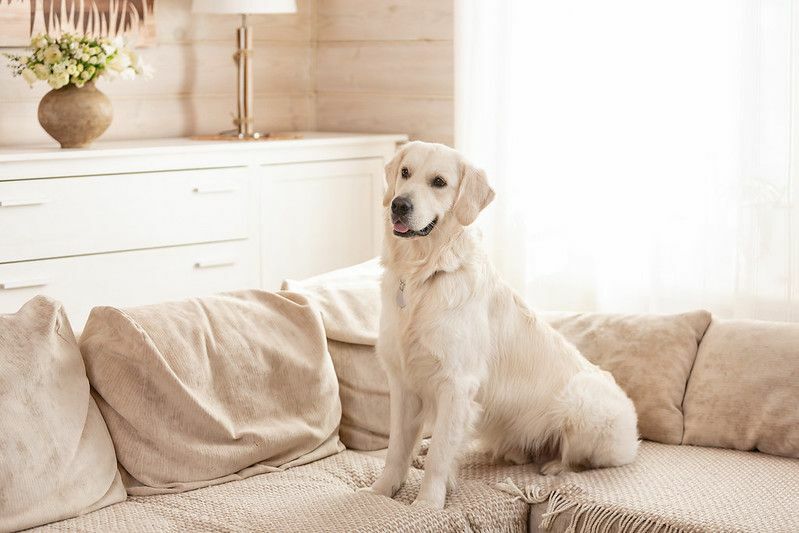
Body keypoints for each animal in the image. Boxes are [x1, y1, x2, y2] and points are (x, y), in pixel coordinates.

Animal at [366, 140, 640, 508]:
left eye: (439, 182)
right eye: (405, 172)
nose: (399, 204)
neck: (425, 274)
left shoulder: (456, 384)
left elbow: (440, 454)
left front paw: (427, 504)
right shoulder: (402, 381)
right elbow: (396, 448)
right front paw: (381, 492)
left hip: (582, 399)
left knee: (577, 458)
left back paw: (553, 466)